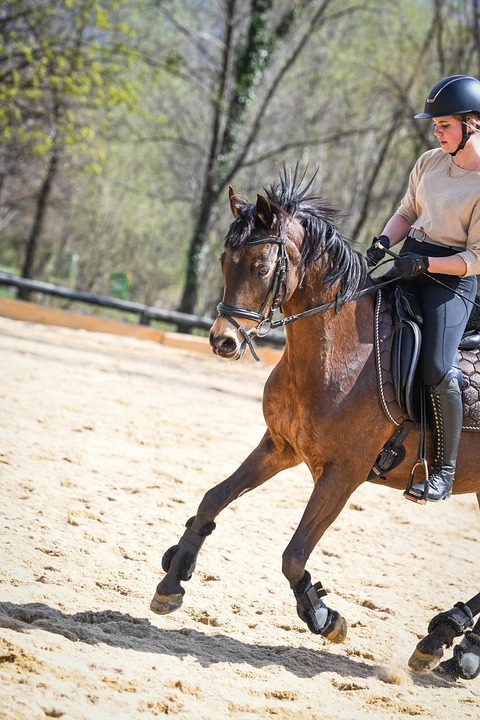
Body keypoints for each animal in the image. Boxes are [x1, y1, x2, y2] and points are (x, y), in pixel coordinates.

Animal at [151, 167, 480, 674]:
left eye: (261, 267)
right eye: (225, 260)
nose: (224, 341)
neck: (339, 355)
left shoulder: (342, 475)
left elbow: (293, 554)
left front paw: (324, 616)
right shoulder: (280, 446)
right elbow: (212, 500)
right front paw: (173, 580)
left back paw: (451, 636)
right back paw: (447, 639)